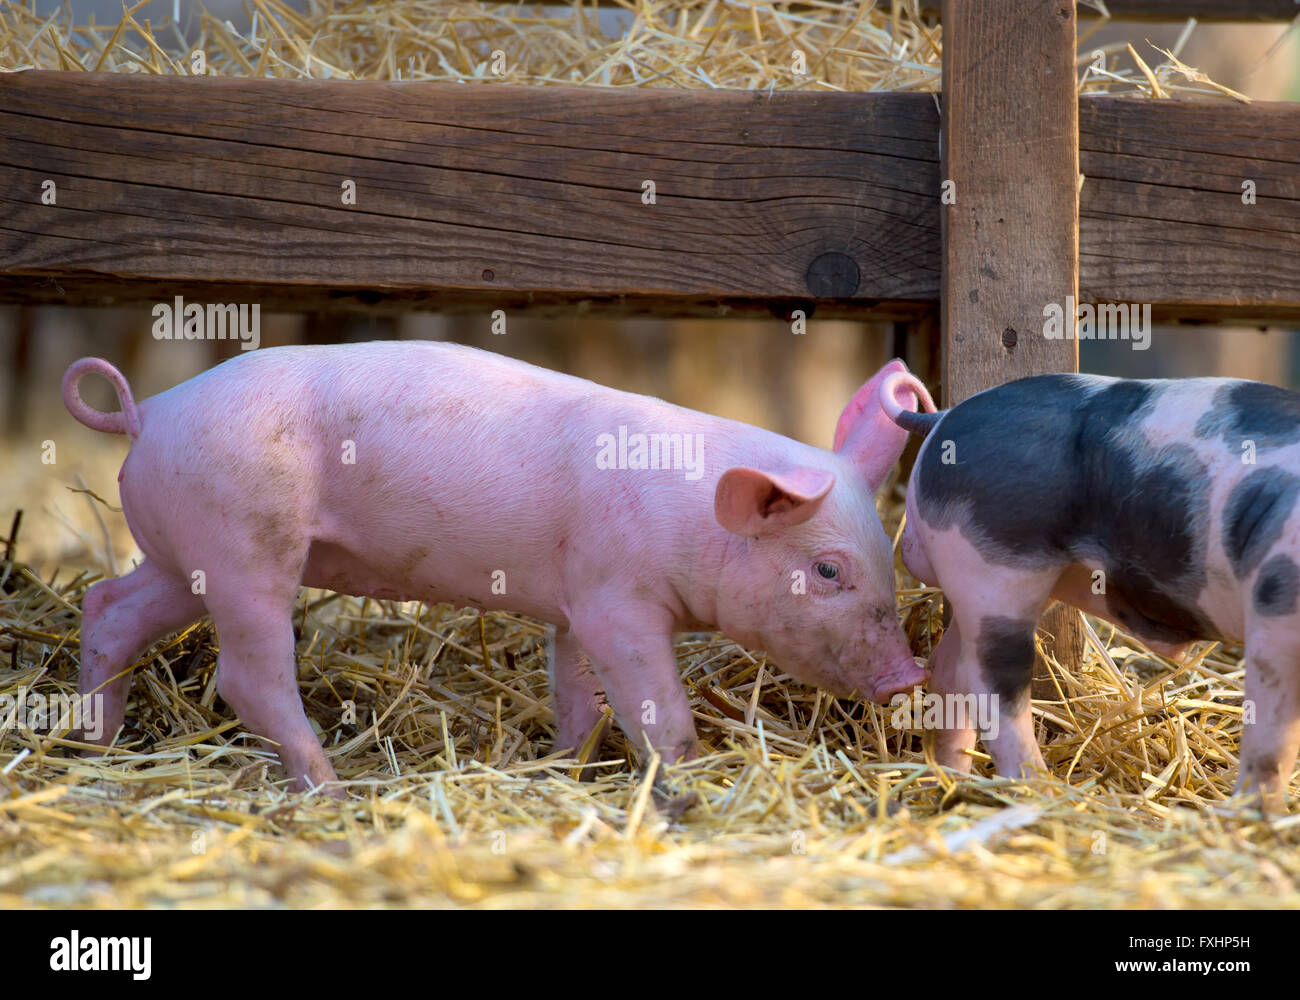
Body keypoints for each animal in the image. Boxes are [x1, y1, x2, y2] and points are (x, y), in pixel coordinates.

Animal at [62, 342, 929, 791]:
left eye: (885, 563)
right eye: (828, 571)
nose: (909, 674)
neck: (694, 518)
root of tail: (146, 413)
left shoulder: (577, 603)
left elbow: (578, 694)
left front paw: (568, 767)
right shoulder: (618, 601)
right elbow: (655, 705)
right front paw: (685, 777)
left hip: (184, 558)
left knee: (109, 606)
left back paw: (96, 748)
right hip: (245, 544)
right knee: (248, 675)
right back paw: (329, 787)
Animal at [880, 368, 1300, 812]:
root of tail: (943, 417)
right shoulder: (1274, 609)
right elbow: (1274, 738)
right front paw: (1258, 816)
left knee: (948, 670)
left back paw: (948, 779)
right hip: (996, 573)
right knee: (992, 685)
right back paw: (1041, 790)